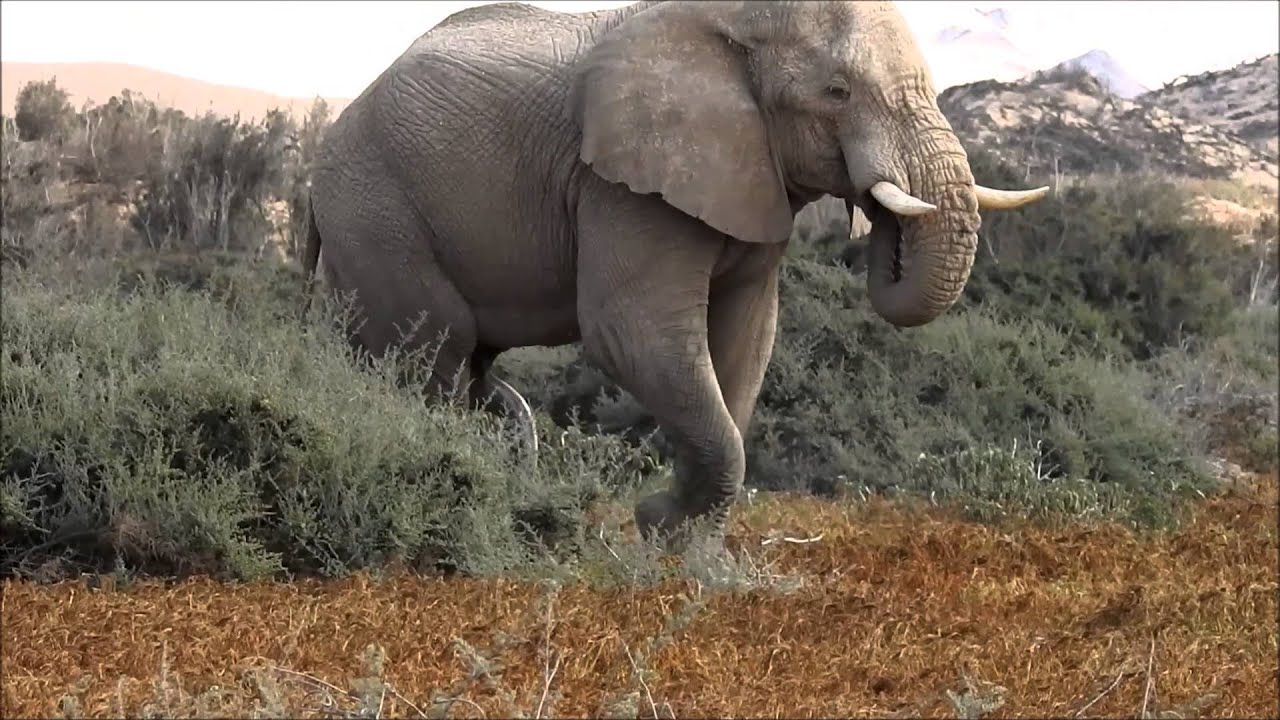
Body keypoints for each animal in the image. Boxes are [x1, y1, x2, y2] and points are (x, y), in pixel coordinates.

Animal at [301, 0, 1050, 551]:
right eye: (837, 93)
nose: (874, 211)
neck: (740, 24)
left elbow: (746, 342)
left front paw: (693, 561)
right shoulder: (621, 184)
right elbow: (632, 333)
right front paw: (659, 525)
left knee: (458, 367)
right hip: (374, 211)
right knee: (436, 354)